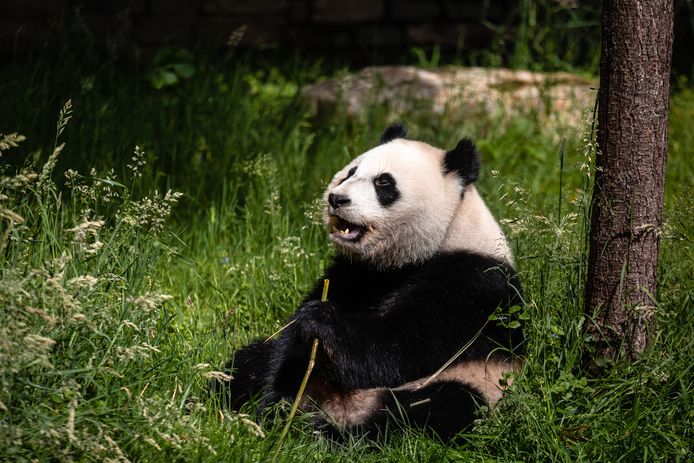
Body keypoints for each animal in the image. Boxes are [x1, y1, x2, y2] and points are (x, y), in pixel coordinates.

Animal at [215, 124, 524, 441]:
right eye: (350, 172)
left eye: (384, 183)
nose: (337, 199)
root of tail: (340, 408)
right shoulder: (357, 274)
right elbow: (287, 349)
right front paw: (272, 403)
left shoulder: (470, 283)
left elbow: (401, 345)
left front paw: (321, 319)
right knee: (248, 359)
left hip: (476, 381)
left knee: (436, 409)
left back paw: (334, 435)